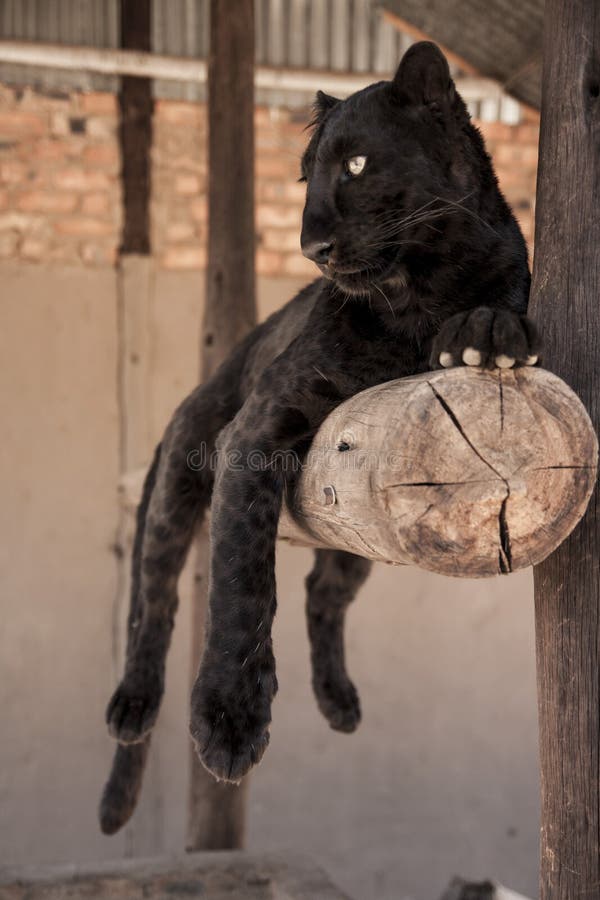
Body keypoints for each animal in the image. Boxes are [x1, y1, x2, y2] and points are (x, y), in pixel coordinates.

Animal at [99, 41, 538, 834]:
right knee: (157, 597)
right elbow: (241, 579)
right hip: (179, 483)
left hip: (366, 529)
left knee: (322, 592)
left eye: (357, 165)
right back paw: (134, 704)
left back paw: (339, 702)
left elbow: (498, 313)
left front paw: (488, 335)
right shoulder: (262, 424)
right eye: (308, 177)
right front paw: (229, 722)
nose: (311, 246)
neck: (418, 294)